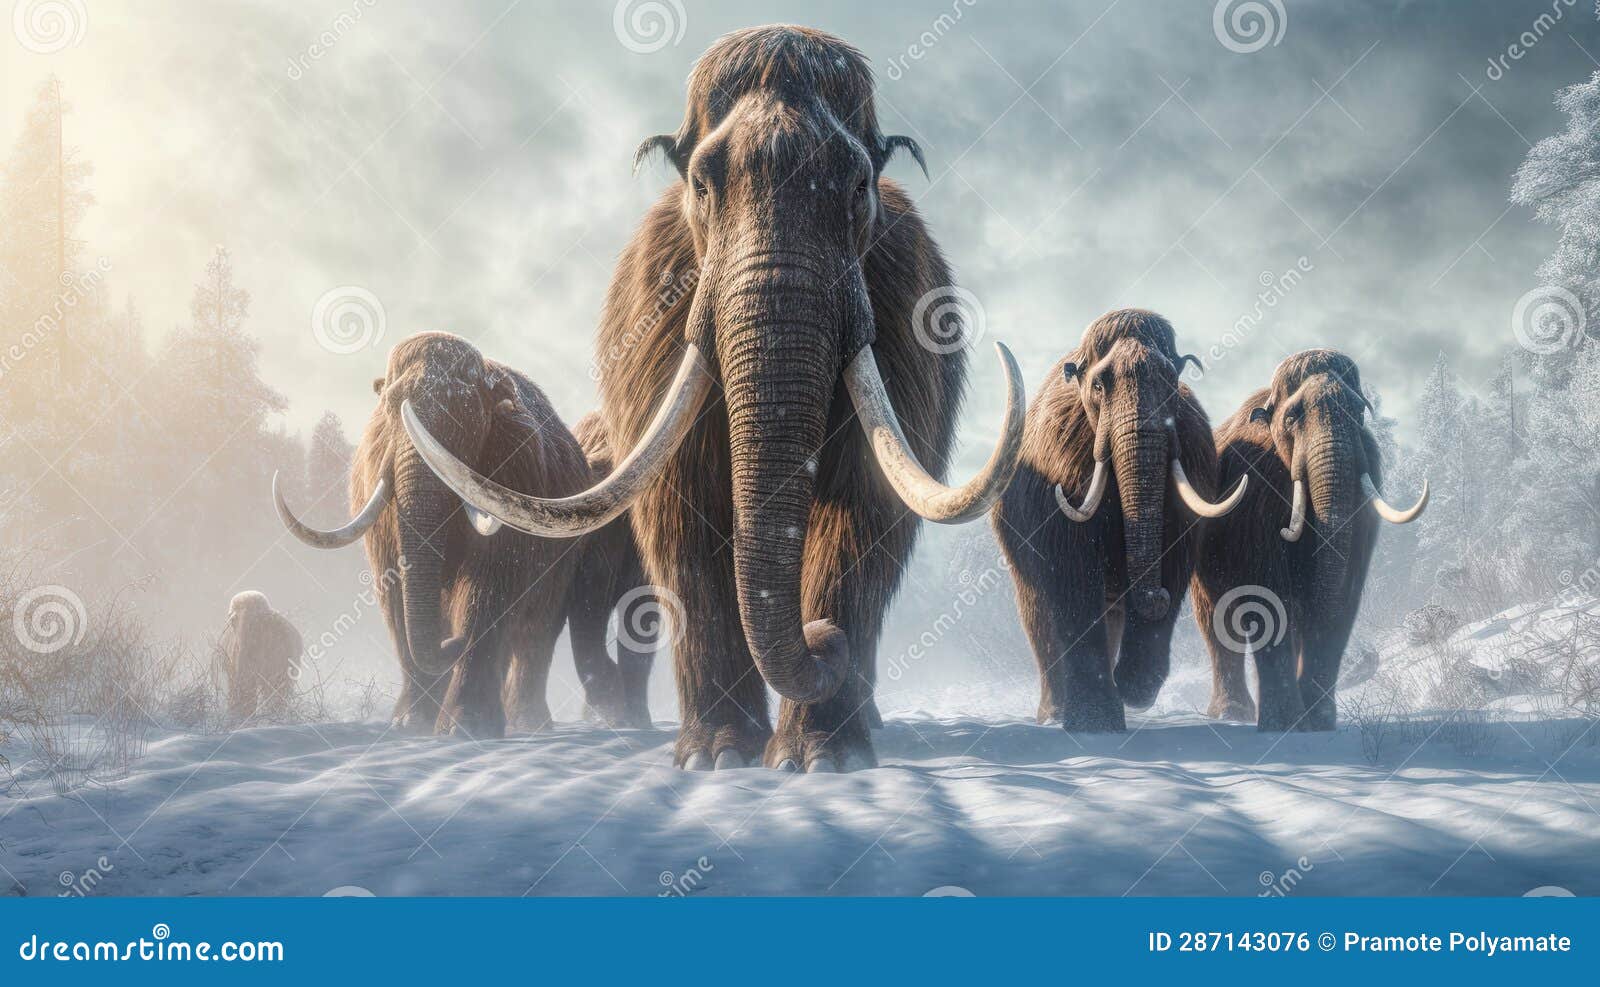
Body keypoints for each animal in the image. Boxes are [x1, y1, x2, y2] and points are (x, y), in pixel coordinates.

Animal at [272, 331, 594, 739]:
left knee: (536, 632)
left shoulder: (515, 472)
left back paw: (529, 723)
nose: (450, 641)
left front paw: (466, 727)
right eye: (390, 407)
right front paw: (411, 724)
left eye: (469, 416)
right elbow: (395, 589)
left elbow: (487, 588)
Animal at [992, 309, 1243, 731]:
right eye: (1098, 384)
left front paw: (1132, 691)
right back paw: (1056, 714)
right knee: (1038, 616)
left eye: (1171, 381)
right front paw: (1097, 721)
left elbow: (1174, 559)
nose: (1154, 596)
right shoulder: (1062, 468)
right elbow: (1074, 574)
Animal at [1193, 349, 1427, 731]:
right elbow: (1270, 598)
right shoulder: (1257, 499)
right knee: (1218, 622)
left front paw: (1319, 723)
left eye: (1359, 412)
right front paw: (1285, 724)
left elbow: (1343, 599)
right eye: (1292, 416)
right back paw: (1232, 714)